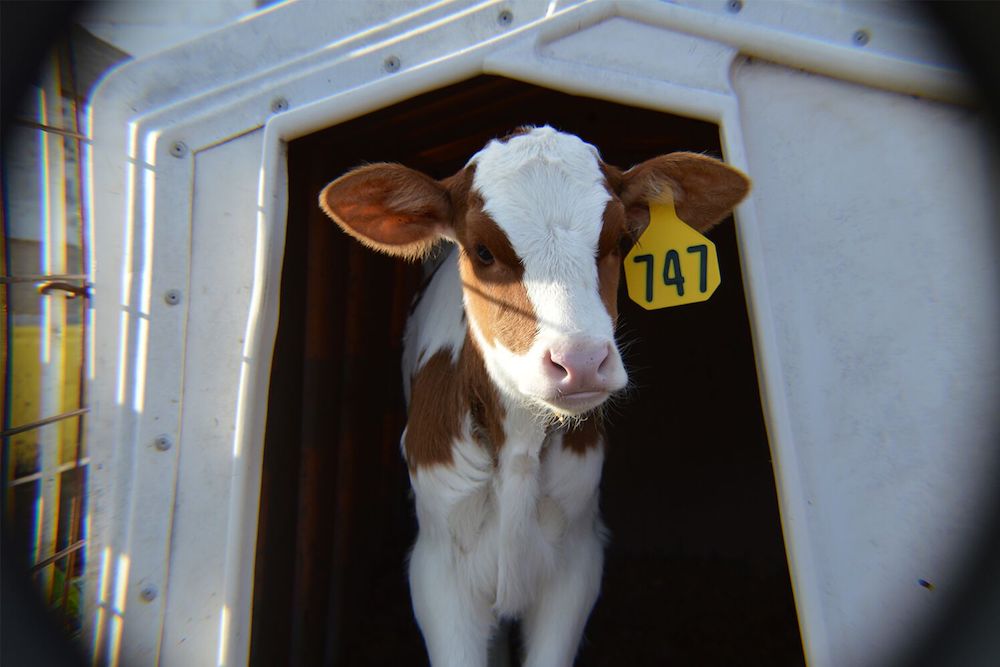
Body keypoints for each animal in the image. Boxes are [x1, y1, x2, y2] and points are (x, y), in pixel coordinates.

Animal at [319, 126, 750, 666]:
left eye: (616, 240)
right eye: (482, 250)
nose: (581, 360)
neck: (520, 443)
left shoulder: (577, 561)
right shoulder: (438, 572)